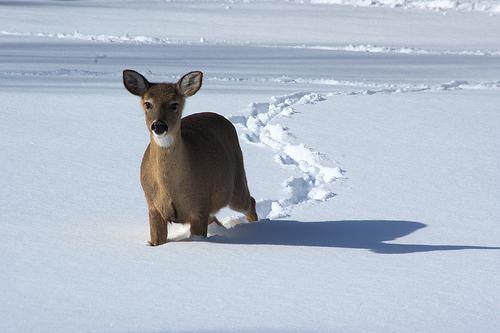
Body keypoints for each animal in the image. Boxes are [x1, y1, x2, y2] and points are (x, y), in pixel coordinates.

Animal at [123, 69, 260, 244]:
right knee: (216, 217)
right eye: (148, 104)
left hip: (236, 184)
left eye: (174, 104)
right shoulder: (153, 207)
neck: (172, 188)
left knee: (251, 201)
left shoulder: (199, 207)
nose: (159, 125)